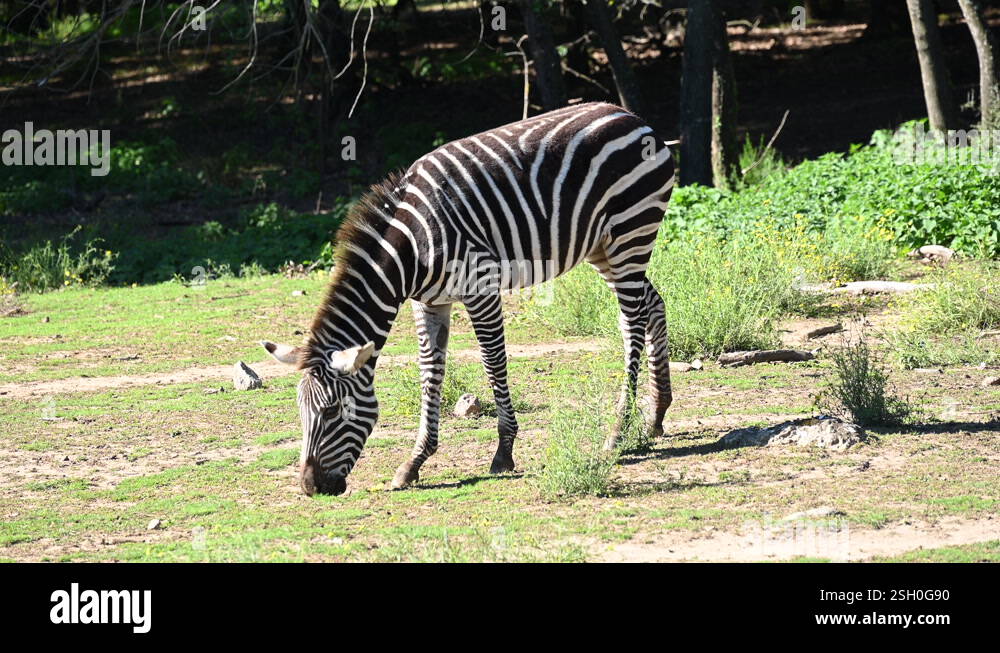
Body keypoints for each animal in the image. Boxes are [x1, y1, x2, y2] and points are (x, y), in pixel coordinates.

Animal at [262, 101, 676, 496]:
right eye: (300, 411)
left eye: (333, 411)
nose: (311, 488)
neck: (411, 249)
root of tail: (634, 118)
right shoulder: (428, 302)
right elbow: (430, 373)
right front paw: (414, 462)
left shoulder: (481, 288)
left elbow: (494, 363)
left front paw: (504, 451)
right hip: (603, 248)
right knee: (653, 304)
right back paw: (656, 416)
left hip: (629, 233)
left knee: (632, 322)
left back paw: (618, 431)